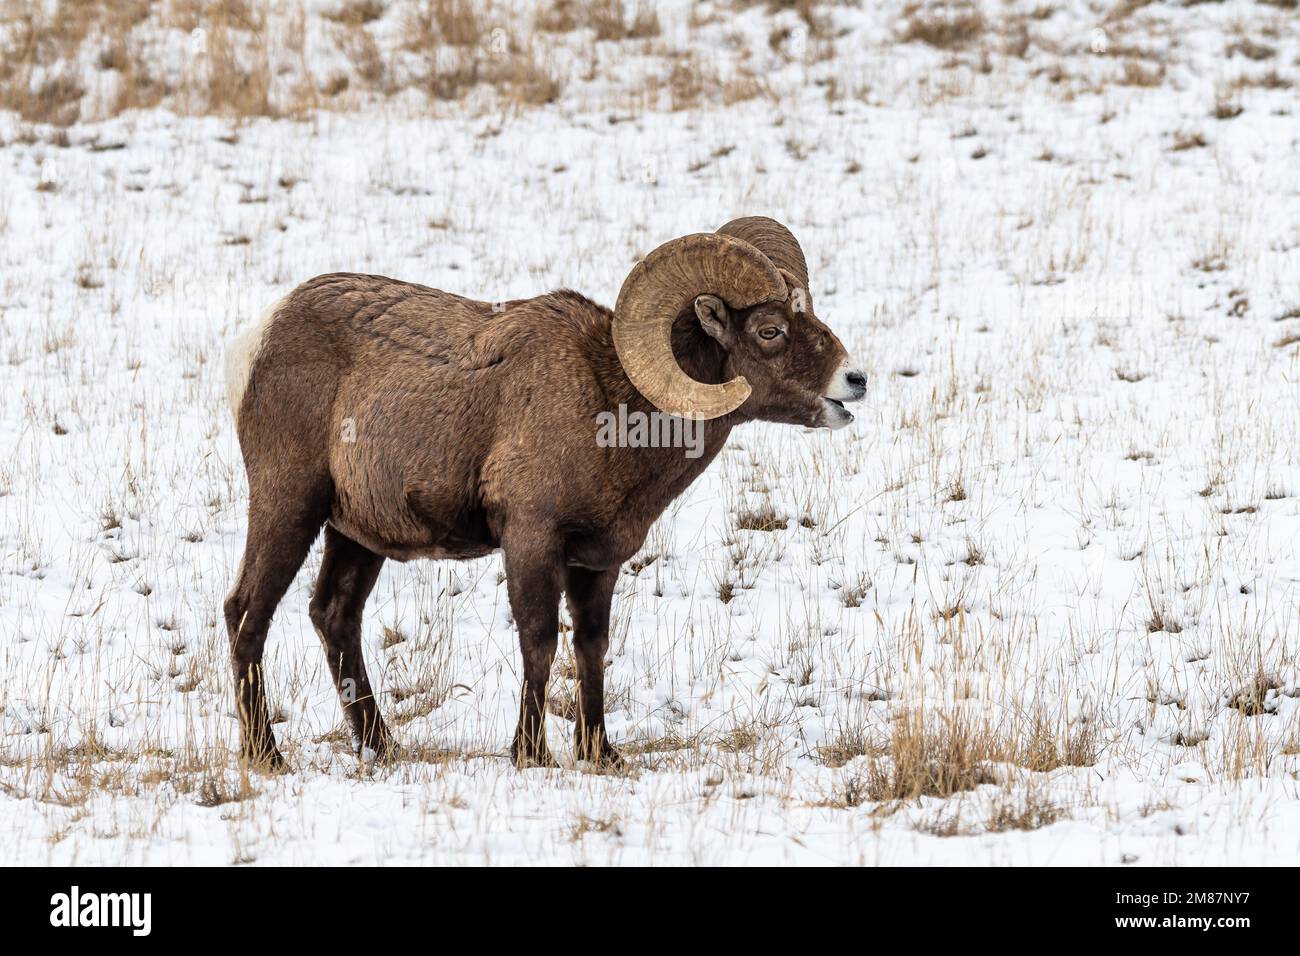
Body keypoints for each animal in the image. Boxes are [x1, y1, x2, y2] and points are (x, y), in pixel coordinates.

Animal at [224, 217, 867, 769]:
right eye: (769, 330)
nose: (855, 381)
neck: (612, 413)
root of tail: (256, 340)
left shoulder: (598, 562)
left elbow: (591, 648)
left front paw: (601, 754)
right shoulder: (532, 543)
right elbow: (539, 645)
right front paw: (531, 755)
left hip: (357, 534)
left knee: (335, 615)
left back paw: (381, 747)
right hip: (289, 505)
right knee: (246, 613)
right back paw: (267, 757)